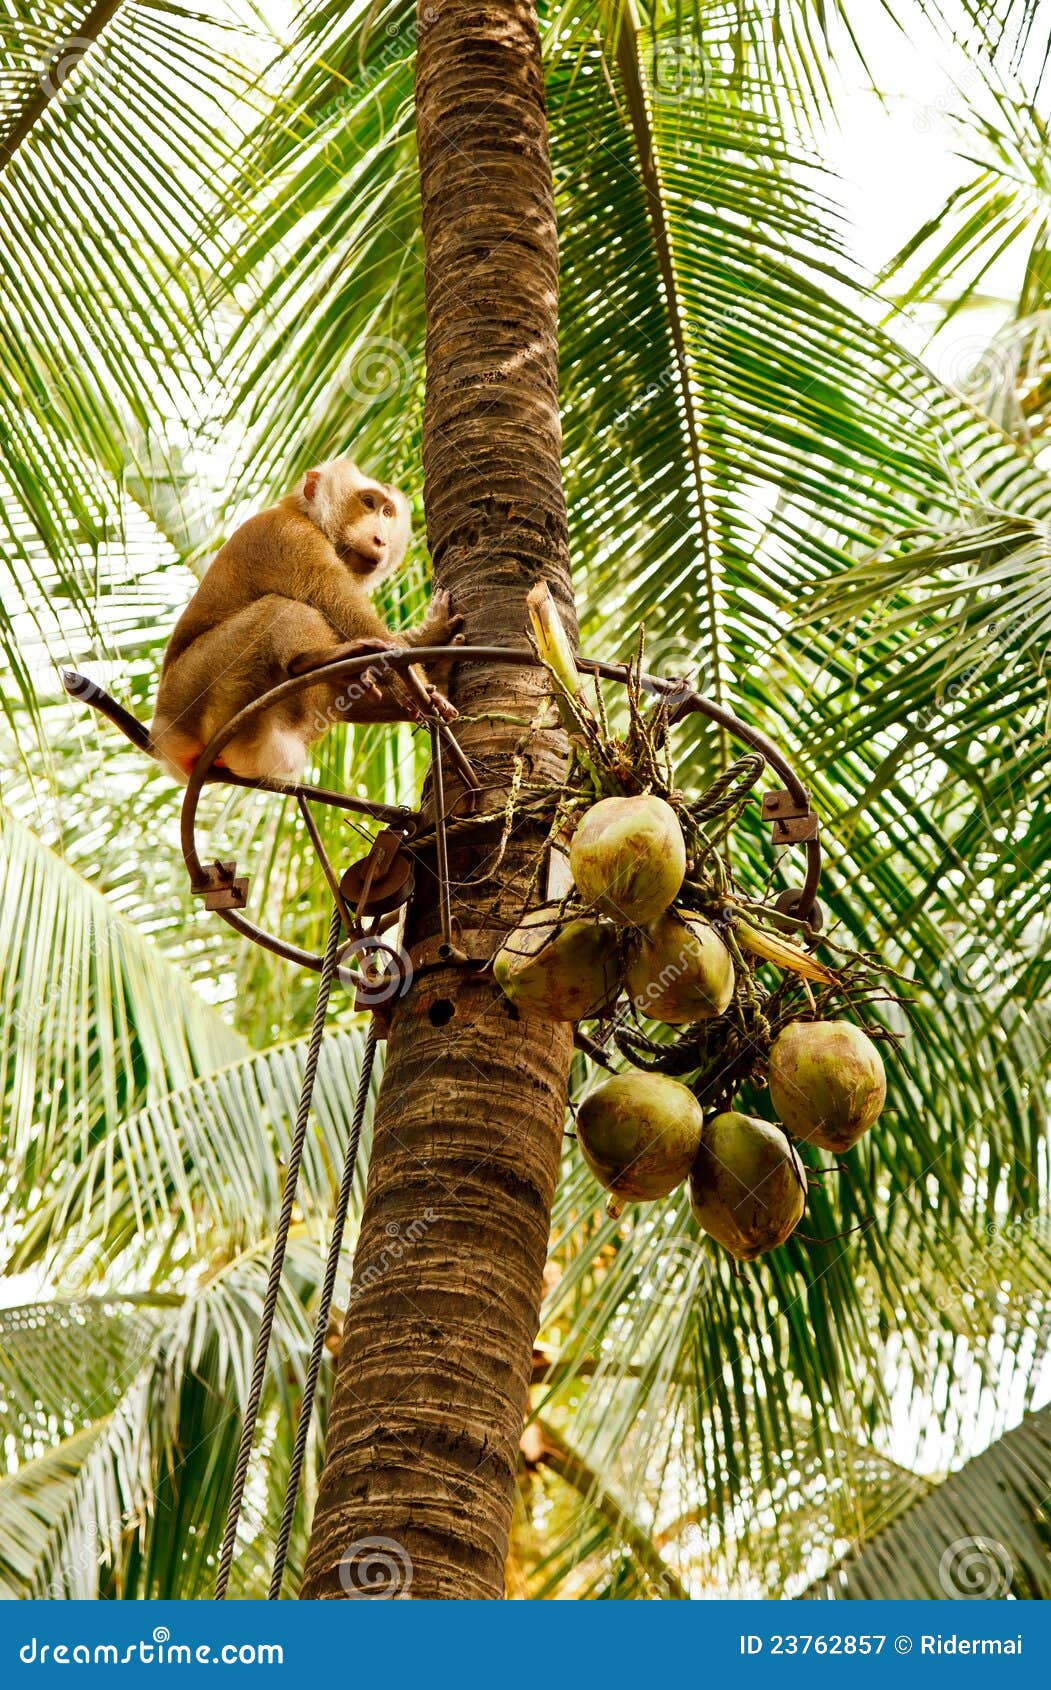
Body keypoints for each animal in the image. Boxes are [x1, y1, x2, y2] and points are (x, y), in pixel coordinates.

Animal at [149, 457, 462, 783]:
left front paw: (430, 637)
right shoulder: (291, 536)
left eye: (387, 512)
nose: (380, 540)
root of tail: (166, 746)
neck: (307, 517)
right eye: (367, 502)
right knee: (280, 608)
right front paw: (424, 692)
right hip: (193, 690)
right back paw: (310, 660)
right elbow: (343, 608)